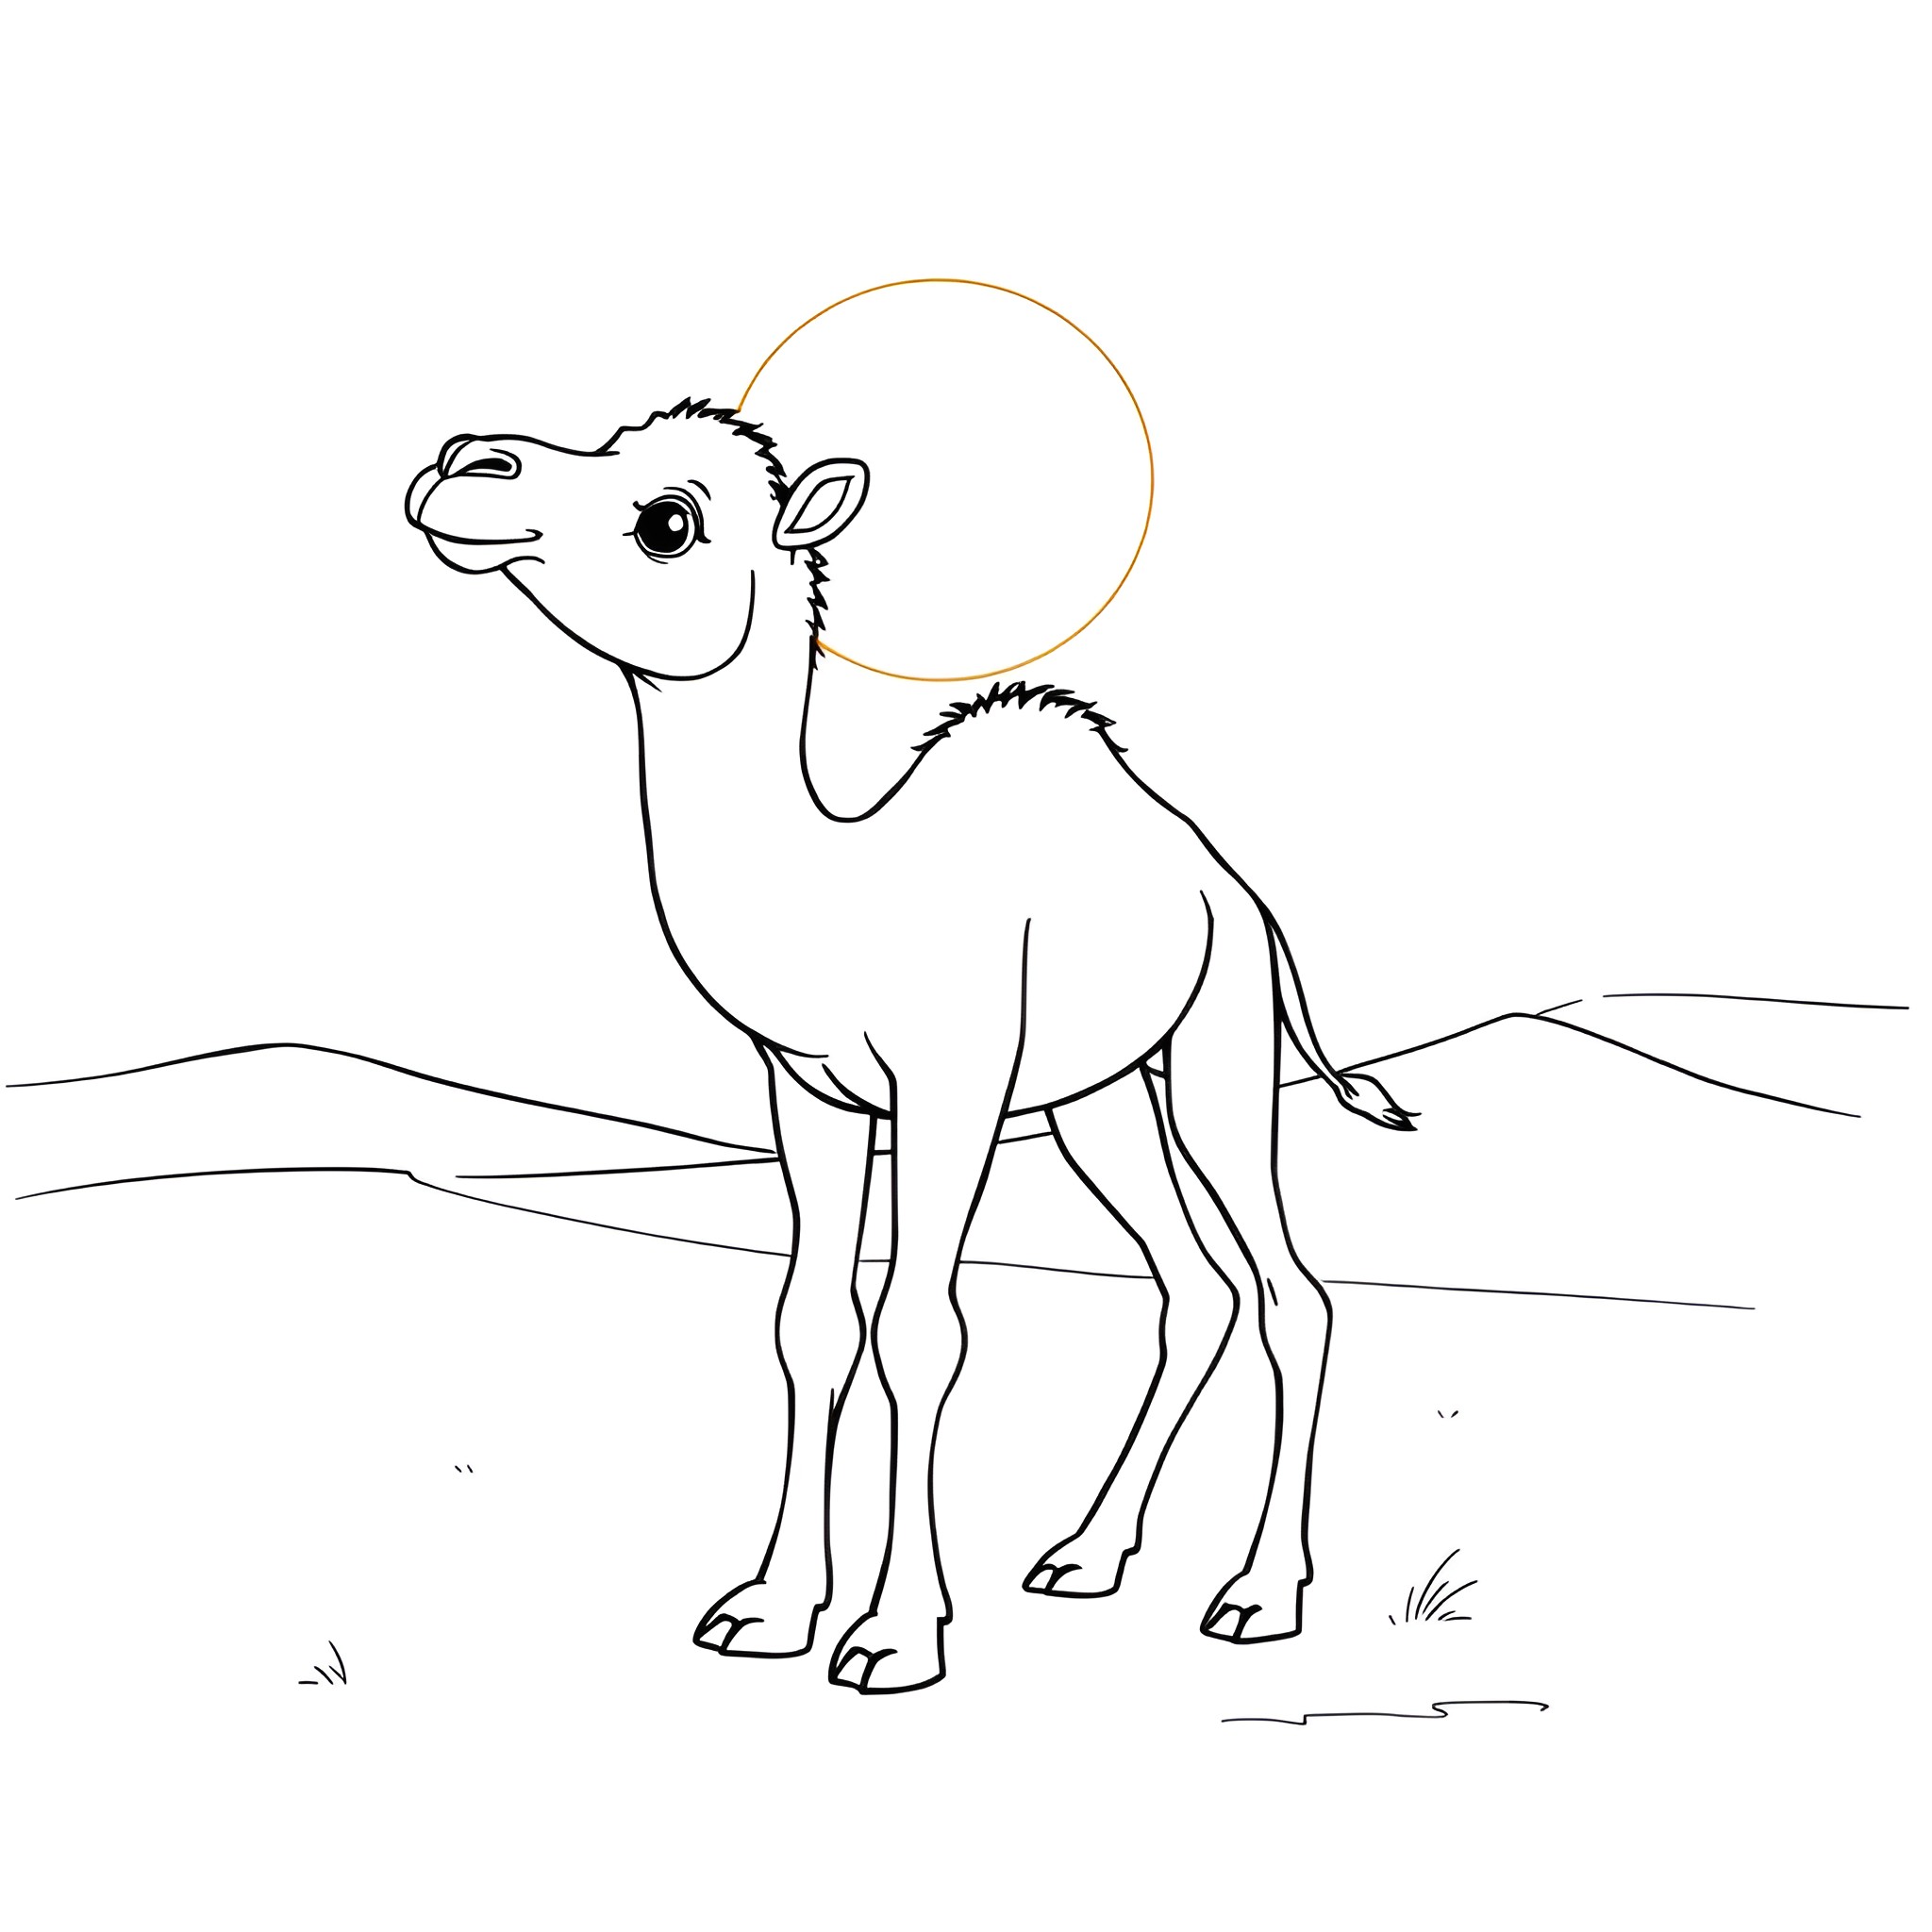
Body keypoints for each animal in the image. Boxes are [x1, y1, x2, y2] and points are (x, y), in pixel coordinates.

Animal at [405, 399, 1413, 1695]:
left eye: (667, 520)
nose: (464, 467)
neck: (838, 898)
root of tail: (1226, 884)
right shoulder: (810, 1097)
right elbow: (810, 1323)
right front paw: (767, 1608)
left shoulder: (950, 1089)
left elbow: (920, 1330)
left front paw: (892, 1632)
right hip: (1097, 1103)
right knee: (1194, 1285)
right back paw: (1082, 1553)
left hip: (1217, 1050)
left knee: (1292, 1293)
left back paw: (1255, 1593)